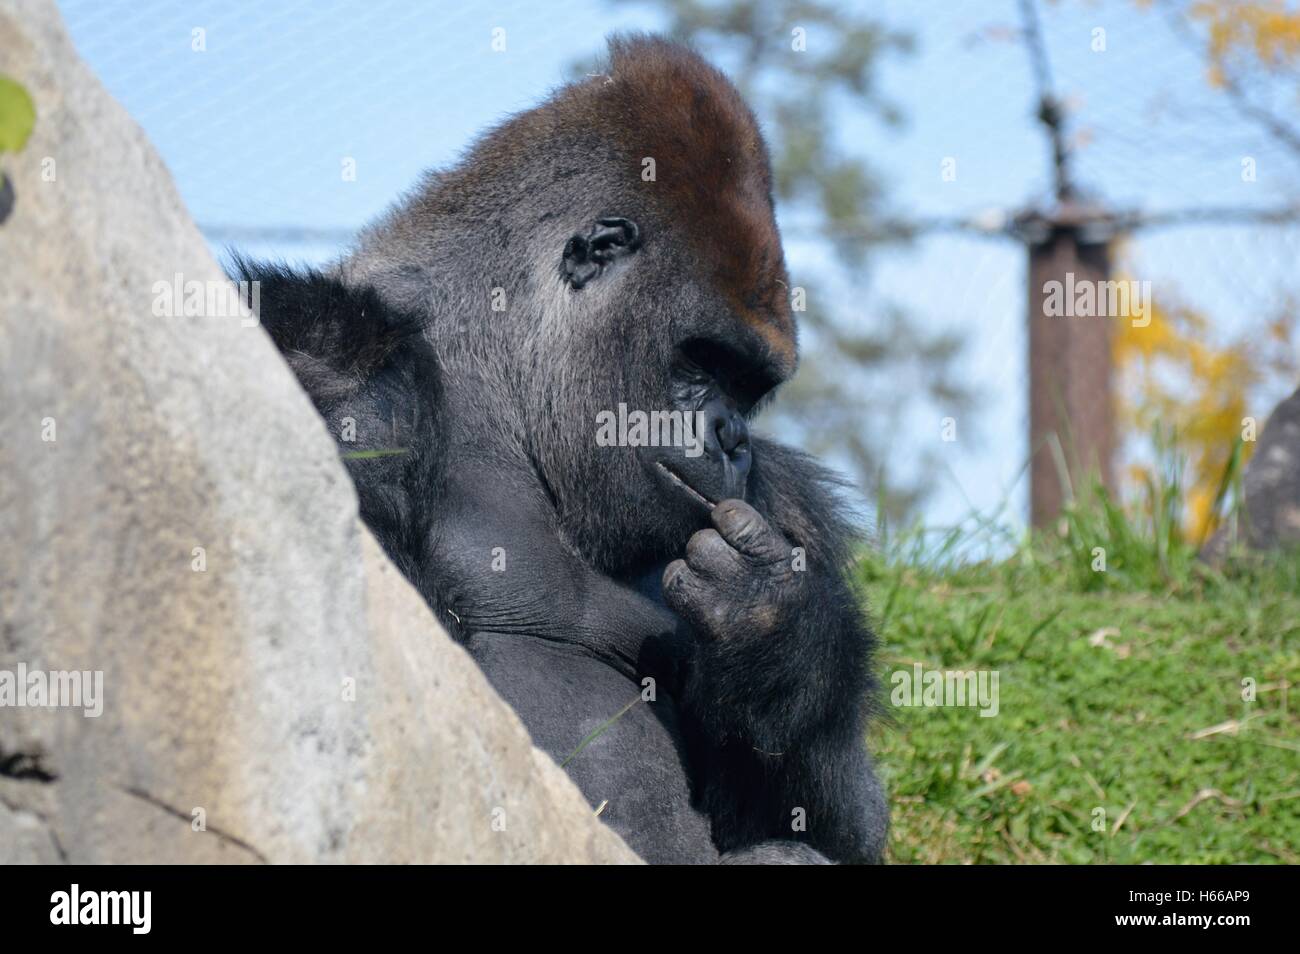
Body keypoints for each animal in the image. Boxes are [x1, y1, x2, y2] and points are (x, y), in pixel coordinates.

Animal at [241, 34, 888, 864]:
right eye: (703, 362)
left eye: (750, 389)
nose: (735, 439)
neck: (498, 390)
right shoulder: (315, 346)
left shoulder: (787, 500)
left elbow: (845, 826)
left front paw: (779, 634)